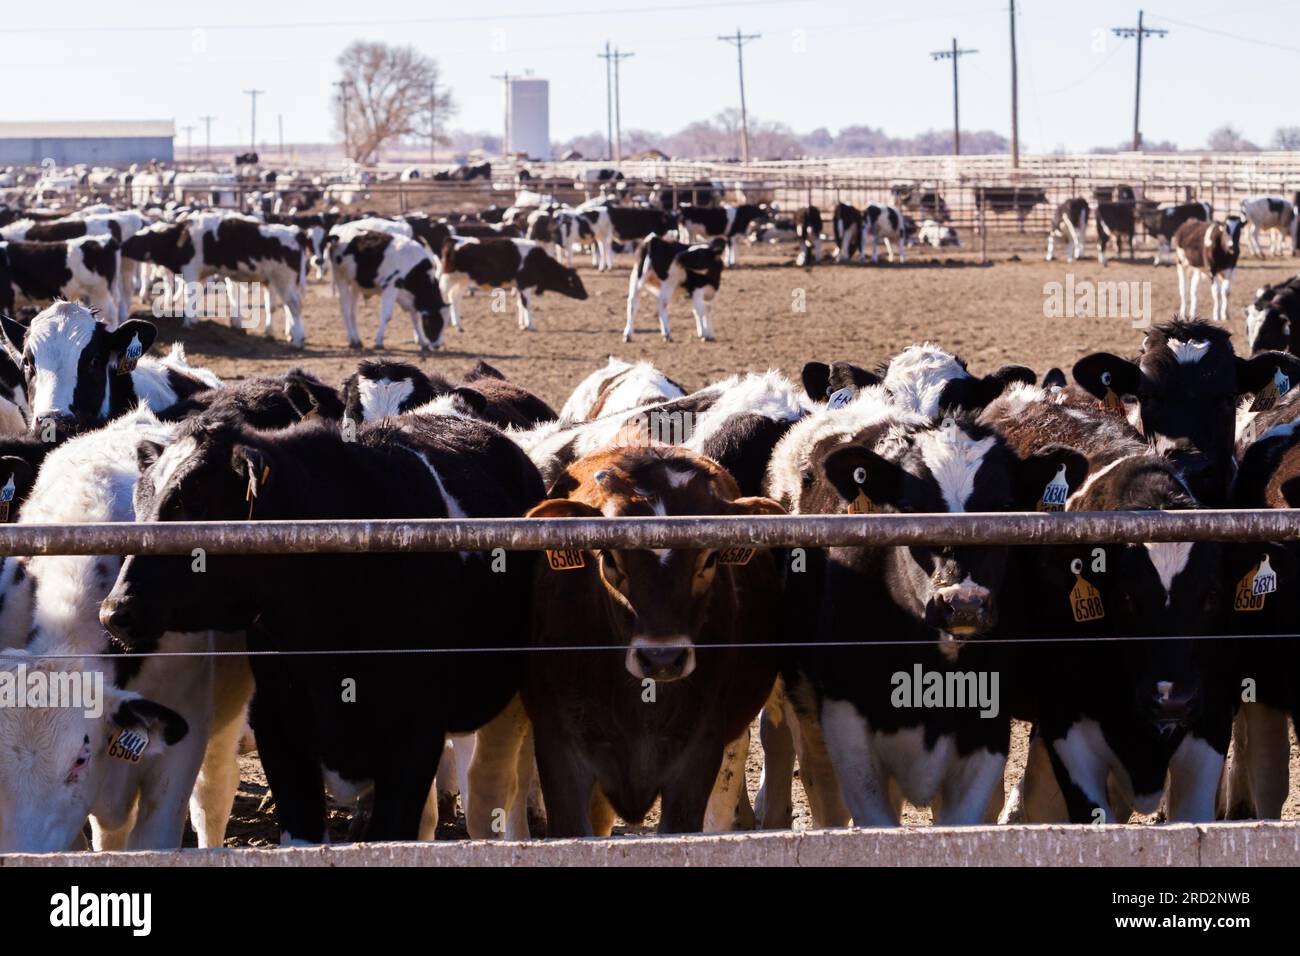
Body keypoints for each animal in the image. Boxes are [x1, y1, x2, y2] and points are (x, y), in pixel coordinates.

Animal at [438, 237, 587, 332]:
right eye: (576, 283)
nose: (586, 295)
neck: (536, 260)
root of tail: (452, 240)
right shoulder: (525, 285)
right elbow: (527, 304)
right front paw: (530, 325)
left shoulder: (519, 286)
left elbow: (520, 304)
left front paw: (522, 324)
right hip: (448, 278)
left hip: (461, 280)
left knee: (454, 298)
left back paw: (458, 325)